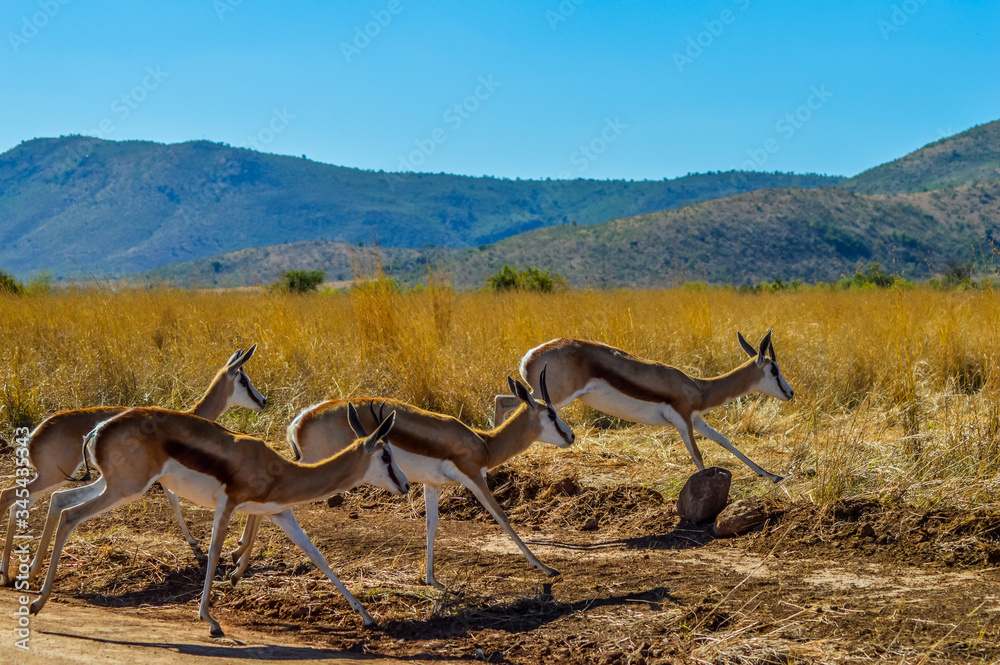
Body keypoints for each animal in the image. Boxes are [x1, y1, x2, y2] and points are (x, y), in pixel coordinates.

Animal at [0, 345, 265, 585]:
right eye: (244, 380)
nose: (263, 400)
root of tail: (33, 434)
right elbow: (174, 500)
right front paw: (196, 543)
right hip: (55, 477)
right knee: (12, 497)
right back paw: (10, 573)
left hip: (56, 479)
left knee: (27, 503)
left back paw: (15, 572)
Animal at [29, 404, 409, 636]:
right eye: (386, 455)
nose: (405, 484)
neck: (280, 471)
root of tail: (99, 428)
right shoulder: (229, 505)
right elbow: (213, 553)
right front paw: (210, 620)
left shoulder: (280, 513)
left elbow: (318, 556)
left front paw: (368, 617)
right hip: (126, 488)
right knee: (70, 515)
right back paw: (37, 601)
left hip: (115, 485)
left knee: (60, 501)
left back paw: (33, 582)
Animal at [229, 370, 574, 589]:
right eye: (552, 414)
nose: (571, 435)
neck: (484, 443)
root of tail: (300, 419)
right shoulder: (475, 476)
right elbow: (502, 517)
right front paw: (545, 567)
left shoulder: (432, 485)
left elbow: (431, 526)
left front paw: (432, 579)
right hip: (315, 466)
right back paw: (237, 564)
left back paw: (237, 562)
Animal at [494, 331, 793, 483]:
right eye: (774, 369)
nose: (790, 392)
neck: (698, 387)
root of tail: (530, 356)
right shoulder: (683, 421)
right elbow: (698, 457)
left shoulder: (695, 419)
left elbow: (725, 441)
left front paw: (773, 476)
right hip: (550, 399)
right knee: (505, 402)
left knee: (502, 400)